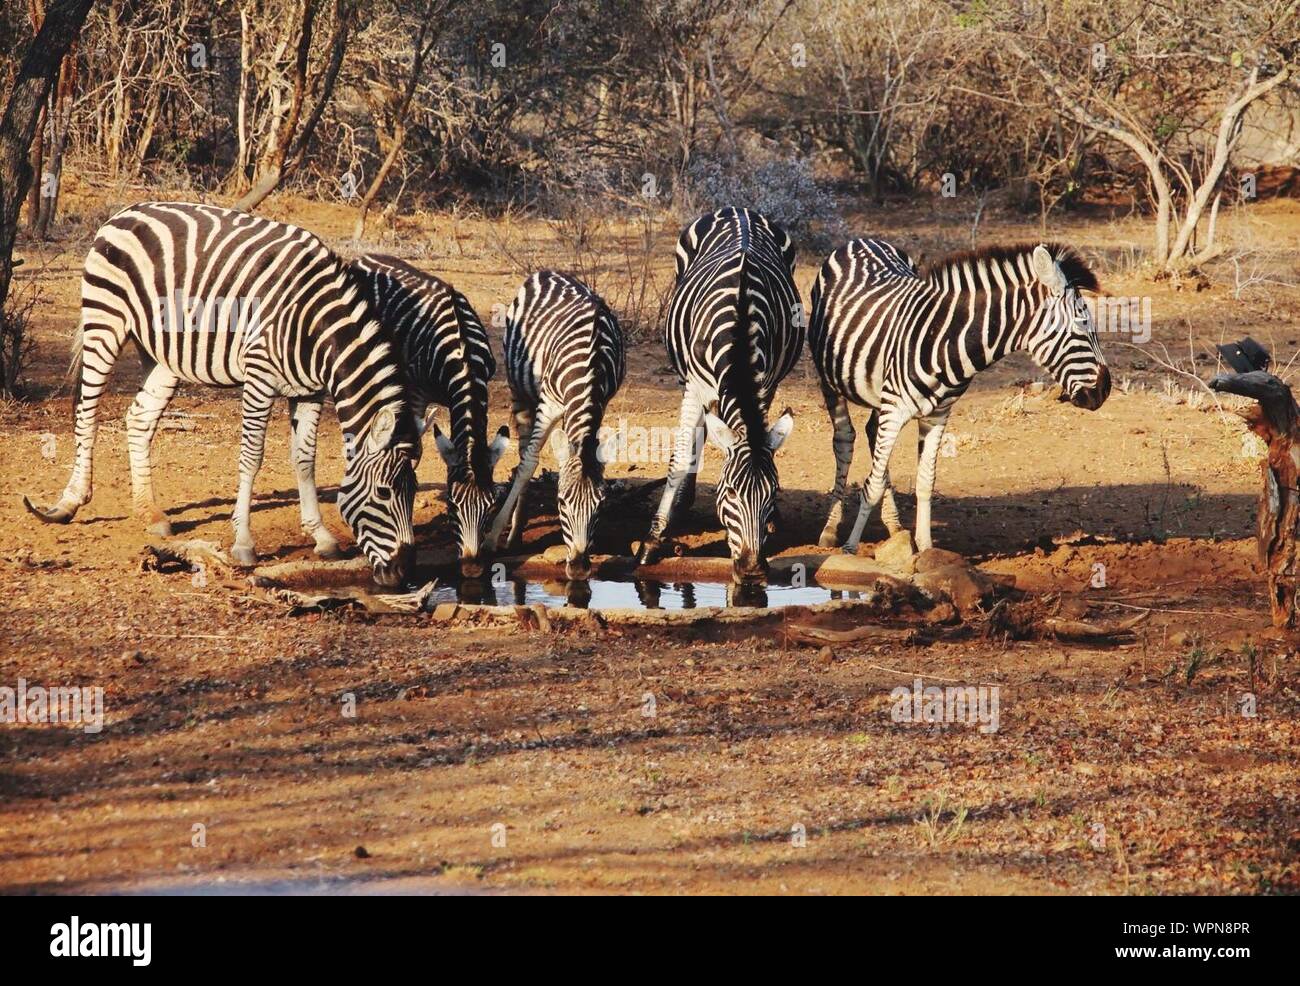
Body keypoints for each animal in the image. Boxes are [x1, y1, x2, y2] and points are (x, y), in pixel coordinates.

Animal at [22, 201, 420, 587]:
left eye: (414, 492)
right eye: (384, 493)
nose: (401, 574)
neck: (316, 326)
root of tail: (124, 212)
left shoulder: (310, 391)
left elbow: (305, 459)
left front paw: (321, 536)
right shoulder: (259, 377)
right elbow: (252, 457)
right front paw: (244, 542)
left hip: (164, 354)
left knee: (139, 419)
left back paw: (150, 512)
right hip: (104, 322)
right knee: (86, 413)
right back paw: (69, 502)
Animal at [349, 254, 508, 576]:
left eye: (491, 505)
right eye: (452, 505)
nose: (472, 570)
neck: (462, 353)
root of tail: (367, 256)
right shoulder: (416, 392)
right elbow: (415, 451)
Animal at [487, 271, 625, 579]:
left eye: (600, 506)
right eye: (561, 503)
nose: (579, 568)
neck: (591, 365)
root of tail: (548, 272)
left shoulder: (602, 401)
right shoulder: (548, 403)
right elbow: (528, 463)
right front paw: (493, 534)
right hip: (520, 389)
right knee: (524, 450)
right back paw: (515, 532)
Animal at [637, 207, 803, 583]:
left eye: (774, 493)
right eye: (729, 492)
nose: (753, 571)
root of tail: (741, 210)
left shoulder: (764, 384)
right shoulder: (695, 384)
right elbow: (681, 456)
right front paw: (653, 540)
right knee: (699, 430)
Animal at [807, 238, 1111, 555]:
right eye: (1082, 325)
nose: (1105, 389)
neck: (944, 339)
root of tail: (859, 240)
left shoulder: (938, 414)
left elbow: (925, 480)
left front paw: (926, 549)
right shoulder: (895, 410)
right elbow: (873, 484)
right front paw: (851, 547)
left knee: (869, 432)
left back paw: (894, 525)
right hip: (830, 380)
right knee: (844, 440)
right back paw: (830, 529)